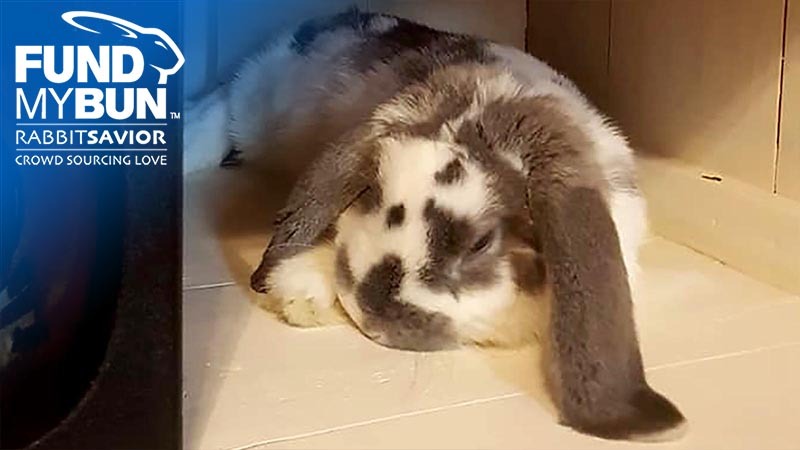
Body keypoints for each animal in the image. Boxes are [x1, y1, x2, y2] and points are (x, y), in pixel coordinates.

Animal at [185, 7, 684, 442]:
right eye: (371, 191)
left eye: (481, 243)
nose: (369, 309)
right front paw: (302, 295)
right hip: (258, 98)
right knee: (221, 107)